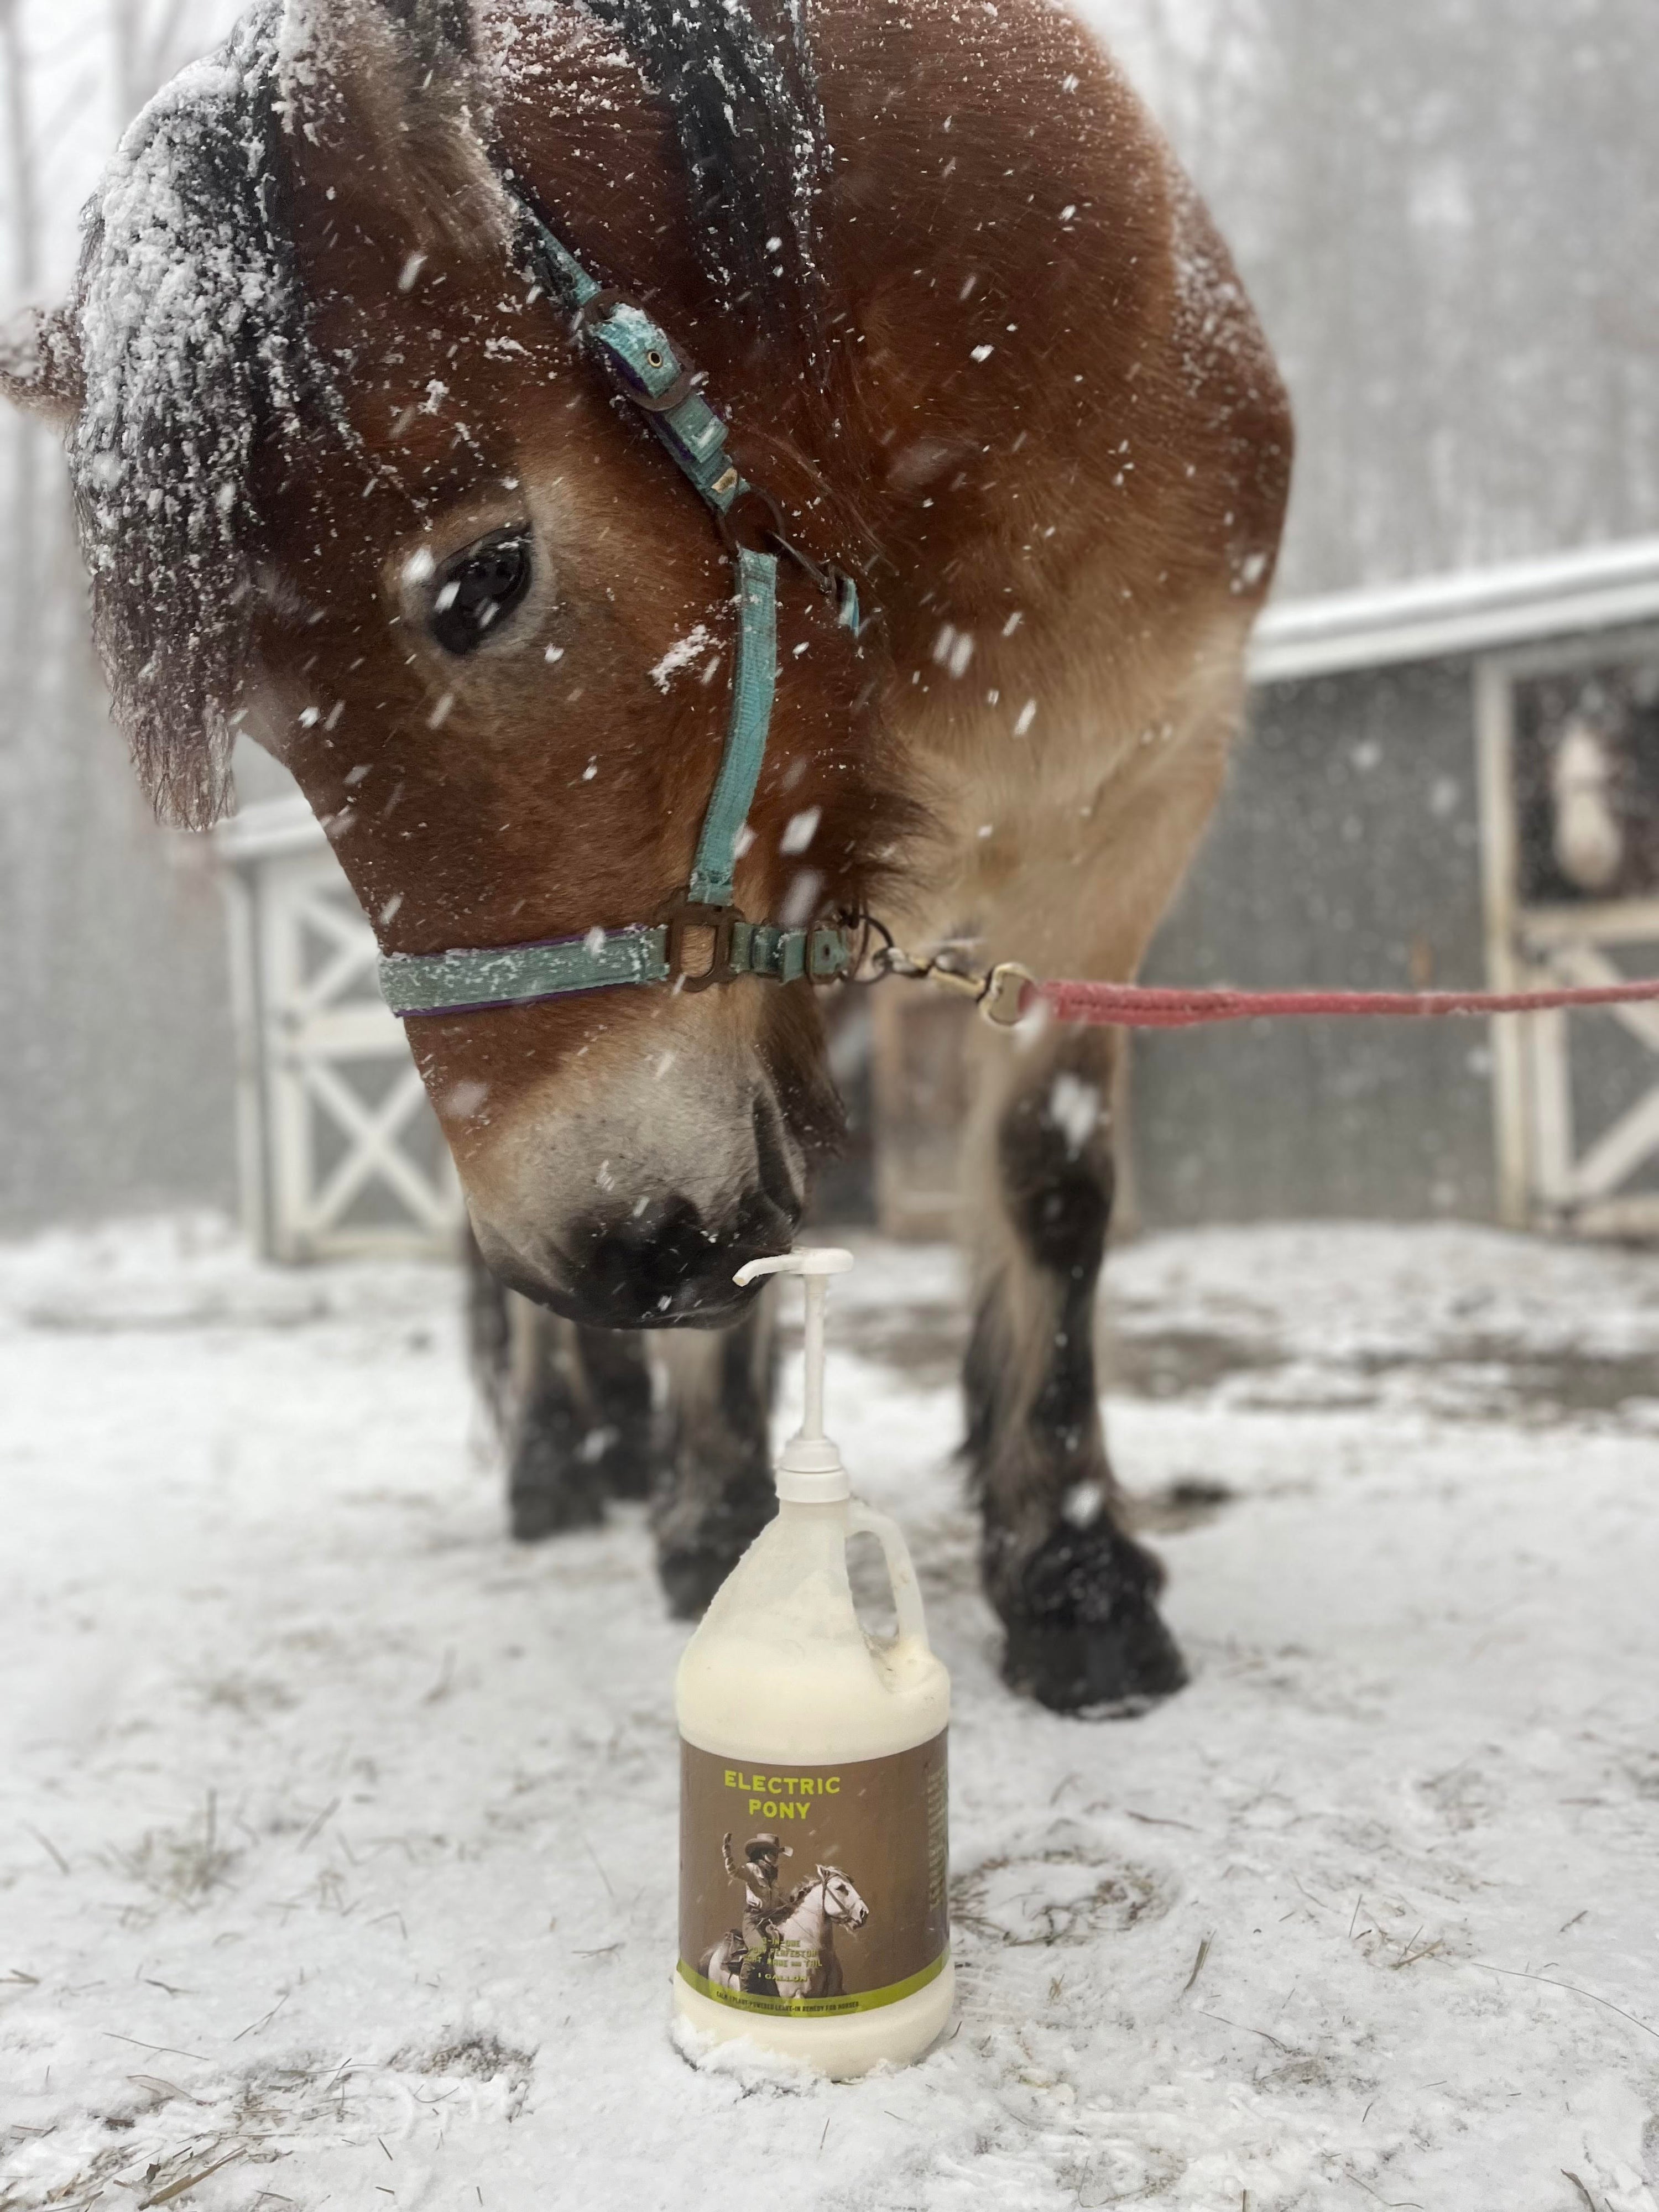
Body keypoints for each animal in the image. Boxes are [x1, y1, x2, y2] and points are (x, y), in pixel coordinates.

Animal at [0, 0, 1291, 1712]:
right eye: (275, 725)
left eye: (485, 580)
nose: (604, 1251)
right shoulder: (760, 924)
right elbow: (764, 1220)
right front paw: (713, 1508)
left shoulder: (1126, 816)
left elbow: (1046, 1183)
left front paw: (1072, 1572)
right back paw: (566, 1451)